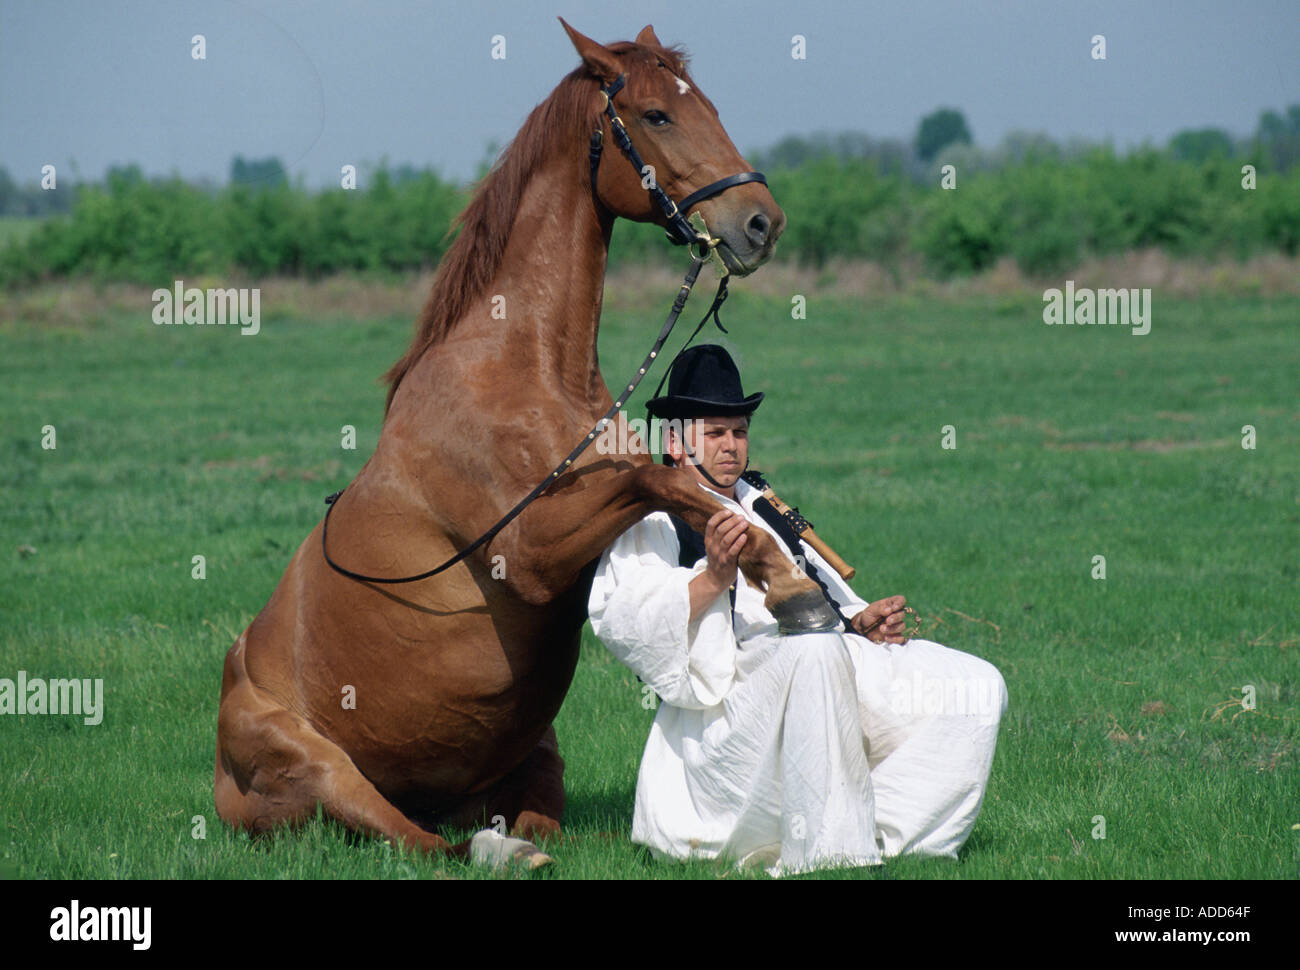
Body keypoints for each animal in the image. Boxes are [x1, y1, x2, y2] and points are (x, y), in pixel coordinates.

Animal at [214, 18, 836, 867]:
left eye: (704, 103)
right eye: (656, 115)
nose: (761, 223)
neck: (524, 369)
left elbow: (677, 487)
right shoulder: (532, 553)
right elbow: (667, 481)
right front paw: (795, 587)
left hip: (535, 752)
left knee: (524, 821)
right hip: (317, 768)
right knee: (420, 841)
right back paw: (493, 849)